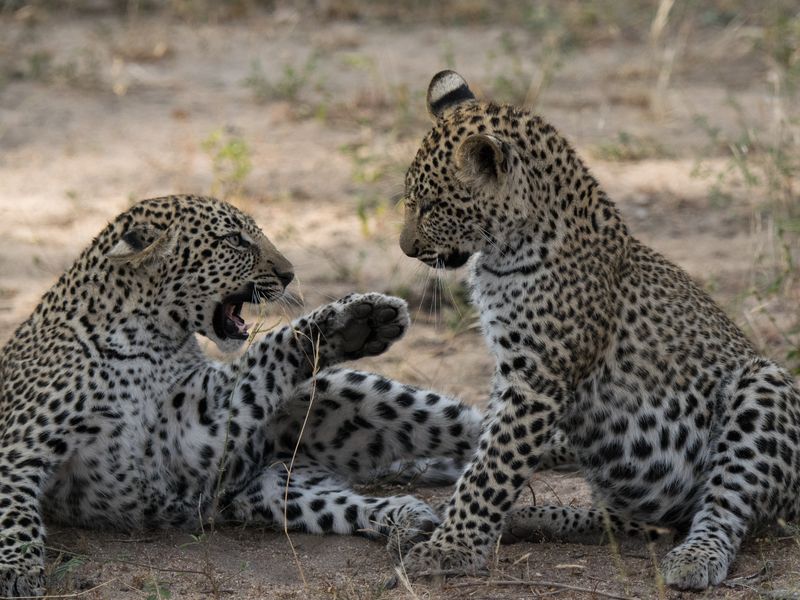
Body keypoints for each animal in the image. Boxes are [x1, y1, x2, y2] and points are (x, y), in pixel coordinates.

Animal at [0, 194, 483, 597]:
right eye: (234, 240)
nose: (289, 274)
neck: (150, 340)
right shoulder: (27, 446)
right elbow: (13, 511)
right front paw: (16, 571)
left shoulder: (186, 431)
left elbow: (267, 353)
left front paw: (352, 323)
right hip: (275, 491)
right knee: (349, 504)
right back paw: (408, 517)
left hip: (352, 392)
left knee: (476, 425)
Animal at [397, 70, 800, 590]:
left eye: (430, 206)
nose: (405, 248)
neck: (507, 251)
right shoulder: (508, 373)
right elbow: (487, 449)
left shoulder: (536, 381)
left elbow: (491, 469)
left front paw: (451, 547)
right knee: (639, 518)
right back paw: (535, 517)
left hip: (762, 387)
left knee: (723, 508)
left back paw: (694, 559)